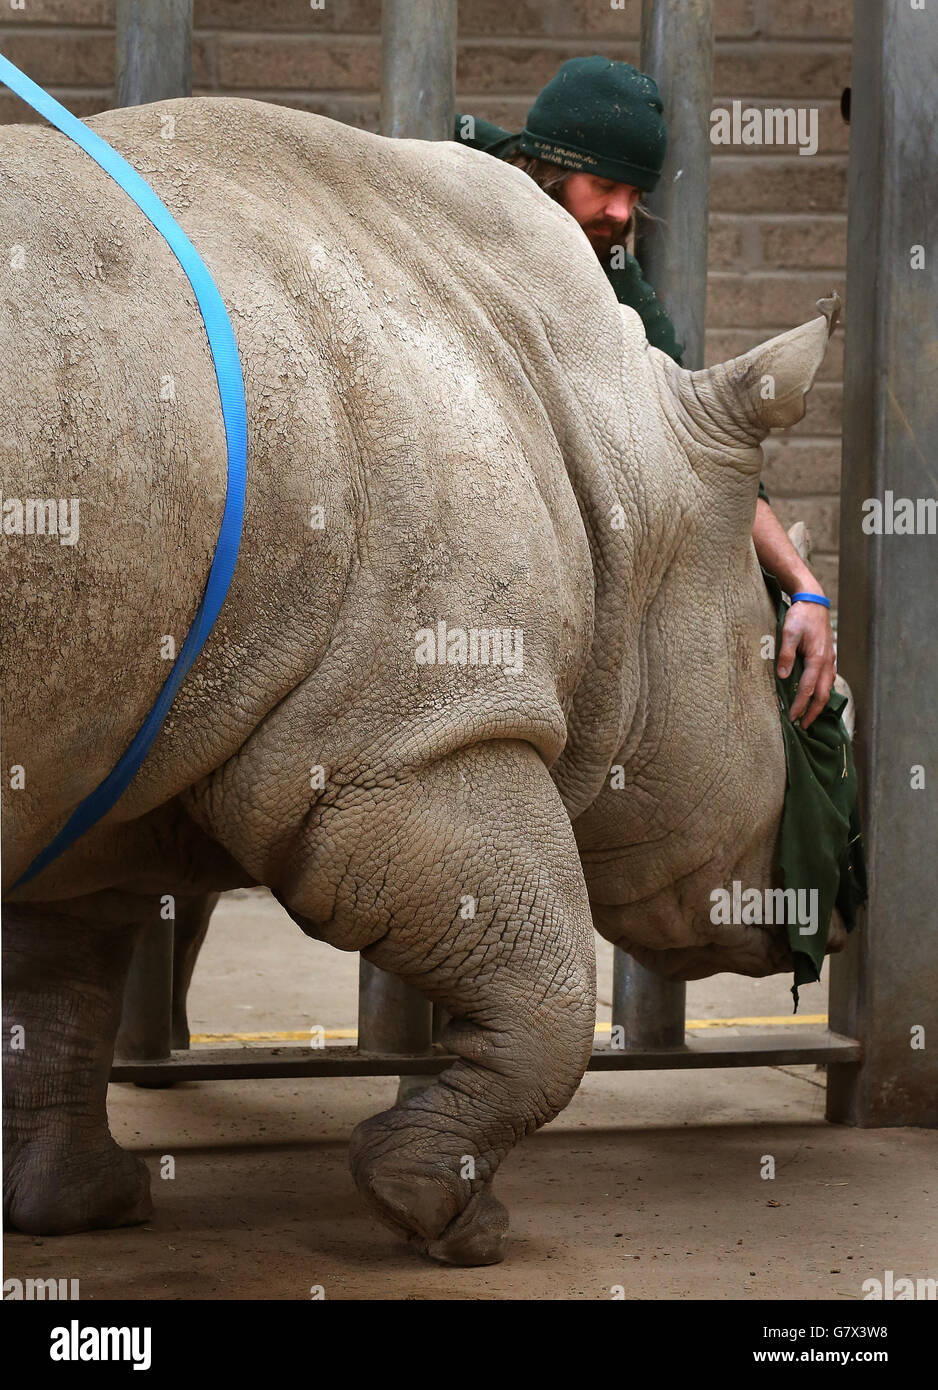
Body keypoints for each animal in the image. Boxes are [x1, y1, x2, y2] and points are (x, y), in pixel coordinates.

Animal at [1, 97, 839, 1265]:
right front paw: (445, 1216)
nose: (836, 906)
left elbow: (58, 979)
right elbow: (547, 980)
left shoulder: (90, 759)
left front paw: (82, 1209)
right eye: (784, 688)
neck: (616, 464)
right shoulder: (409, 737)